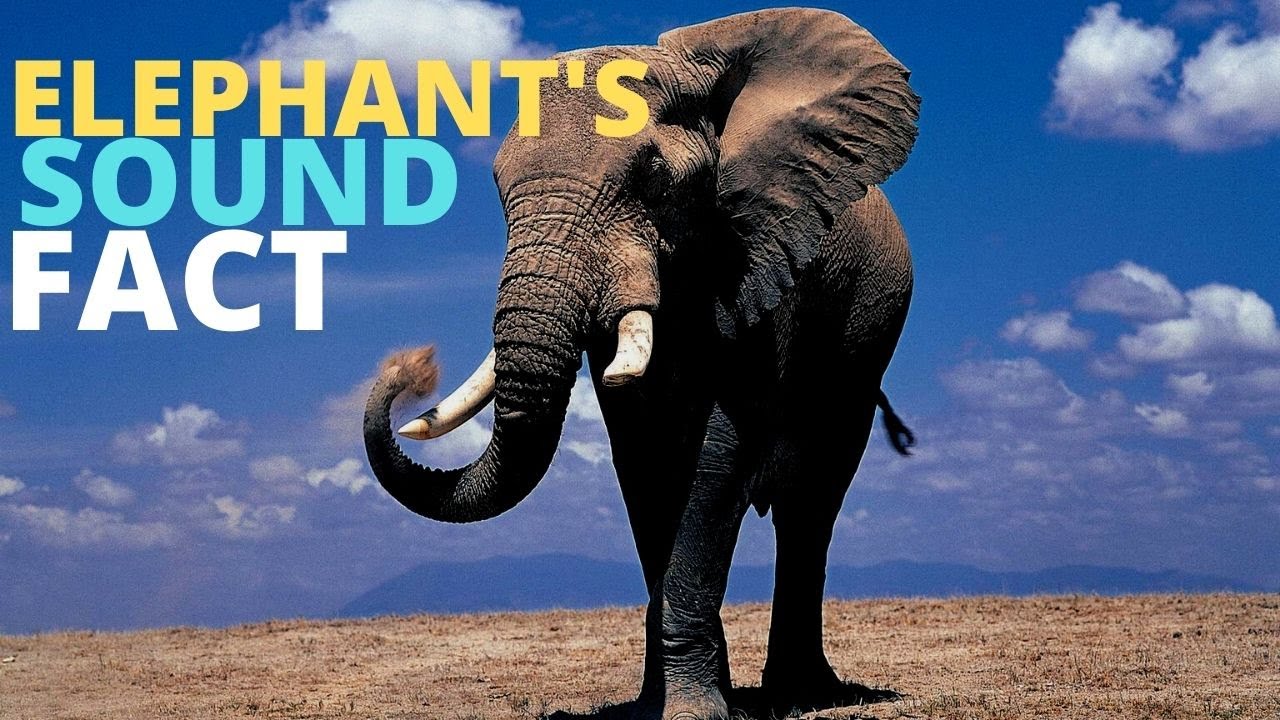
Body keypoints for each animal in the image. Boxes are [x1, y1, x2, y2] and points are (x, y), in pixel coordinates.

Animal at [363, 8, 920, 719]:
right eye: (496, 185)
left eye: (653, 179)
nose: (411, 367)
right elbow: (643, 456)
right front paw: (658, 707)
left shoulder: (765, 257)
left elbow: (716, 454)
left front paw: (695, 715)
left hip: (867, 337)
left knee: (813, 498)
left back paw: (803, 694)